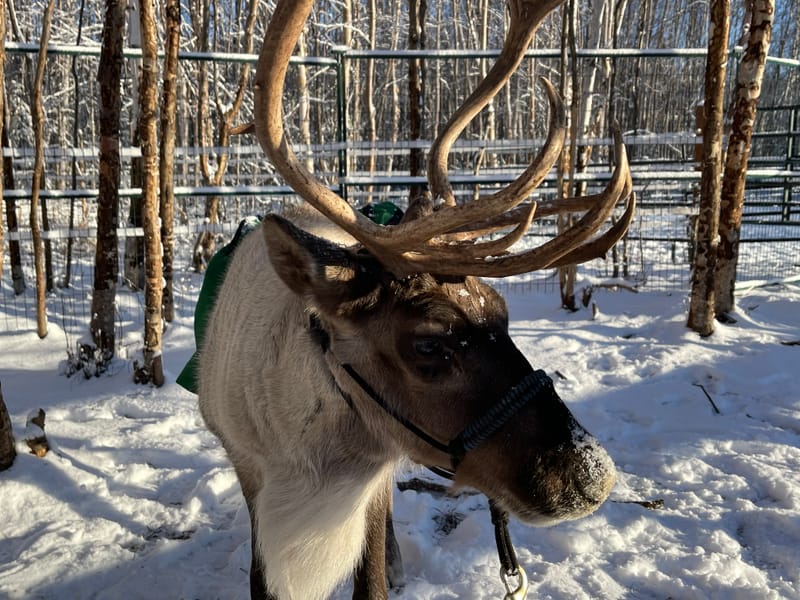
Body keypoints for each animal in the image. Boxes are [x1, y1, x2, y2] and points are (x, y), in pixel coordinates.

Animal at [197, 0, 635, 598]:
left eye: (504, 314)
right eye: (428, 343)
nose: (593, 476)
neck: (316, 467)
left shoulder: (374, 479)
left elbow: (373, 577)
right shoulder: (250, 471)